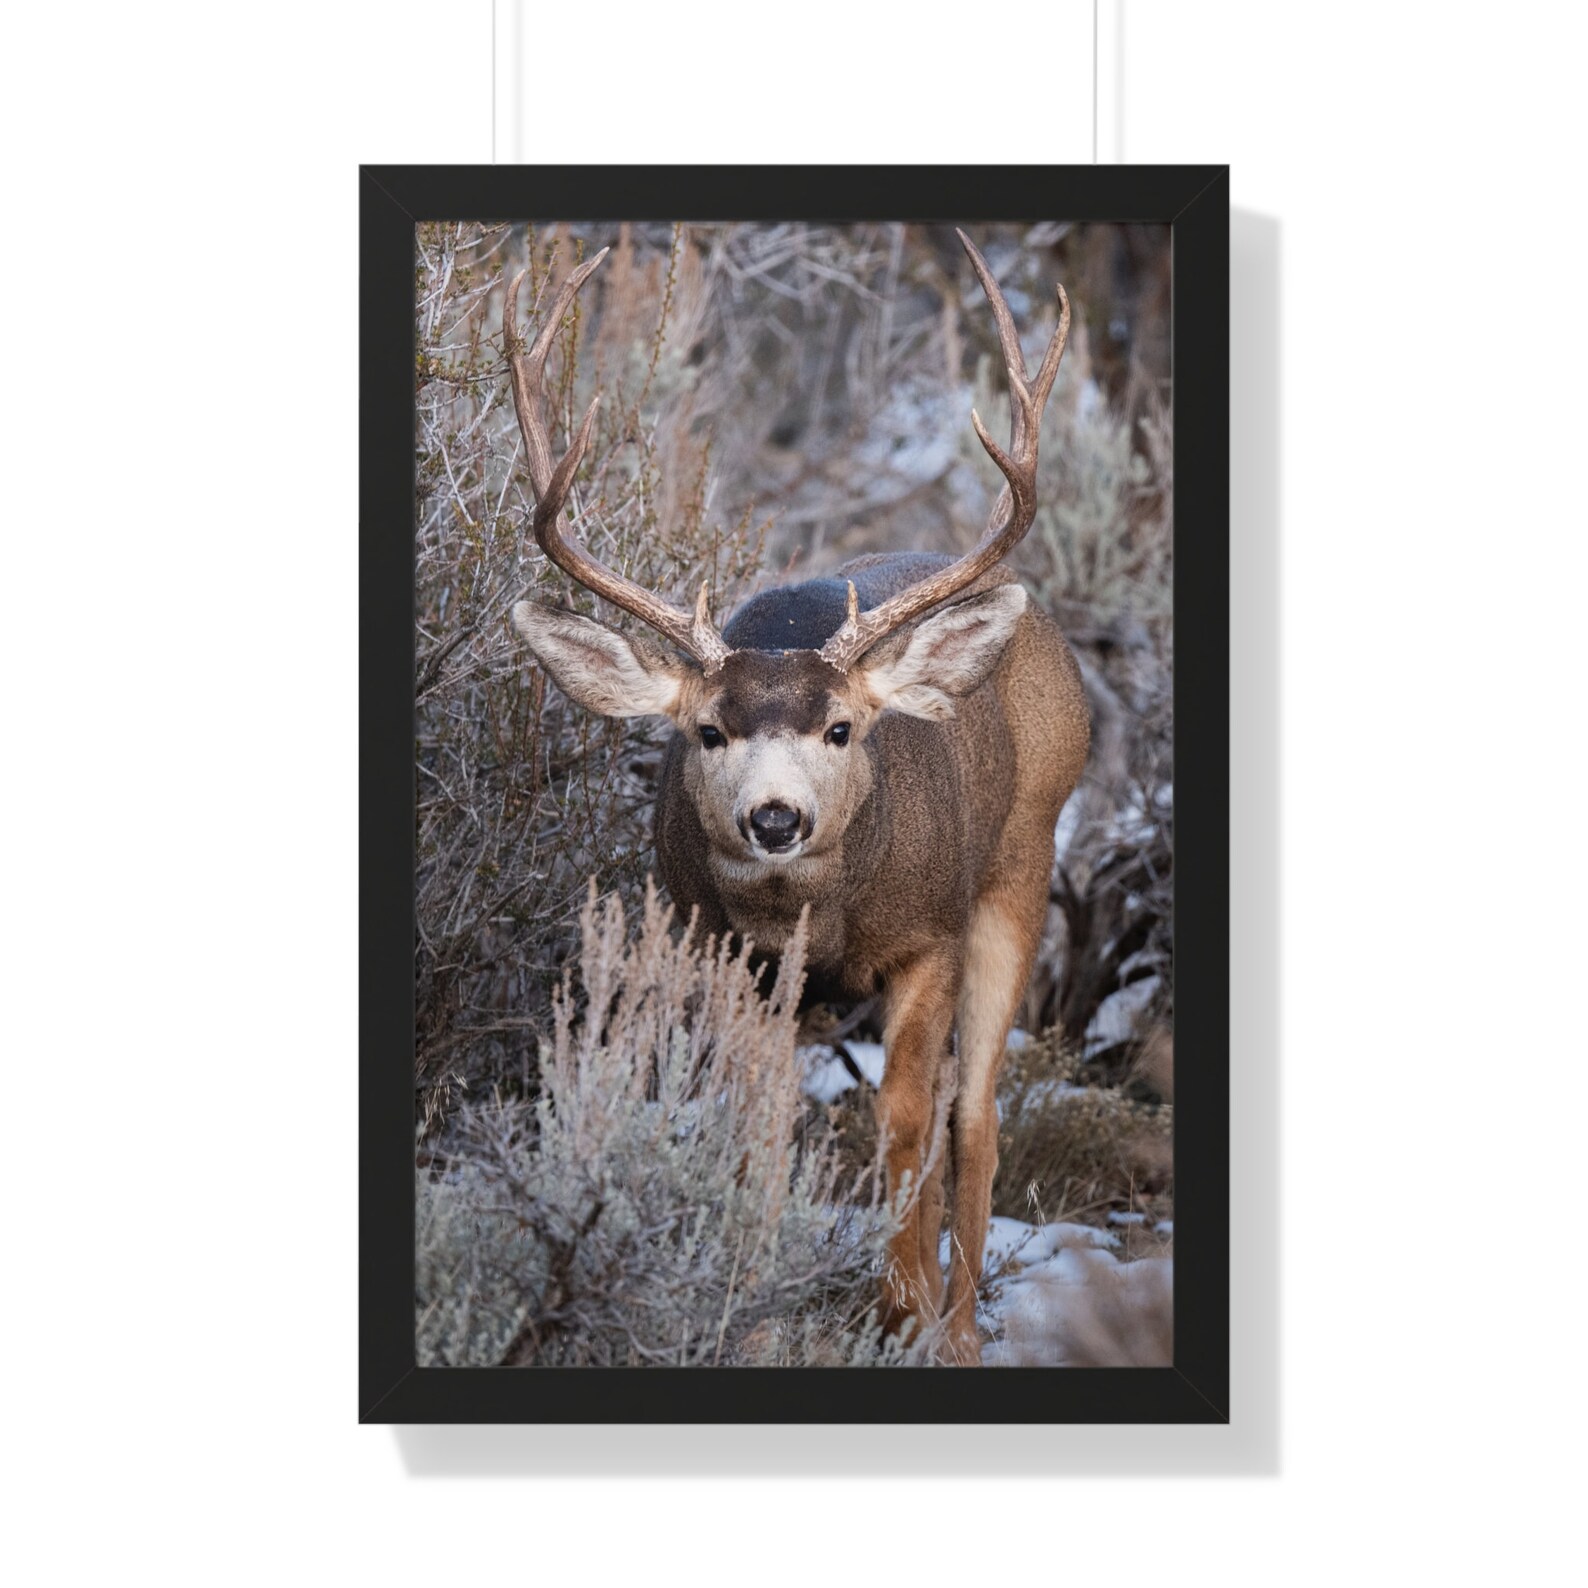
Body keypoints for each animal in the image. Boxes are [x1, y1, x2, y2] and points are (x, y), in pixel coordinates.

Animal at [503, 231, 1090, 1365]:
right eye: (707, 731)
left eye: (841, 729)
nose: (775, 818)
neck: (821, 921)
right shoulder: (725, 954)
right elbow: (759, 1122)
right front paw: (749, 1305)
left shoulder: (925, 936)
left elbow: (904, 1113)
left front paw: (901, 1310)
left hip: (1021, 863)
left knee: (975, 1109)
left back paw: (957, 1329)